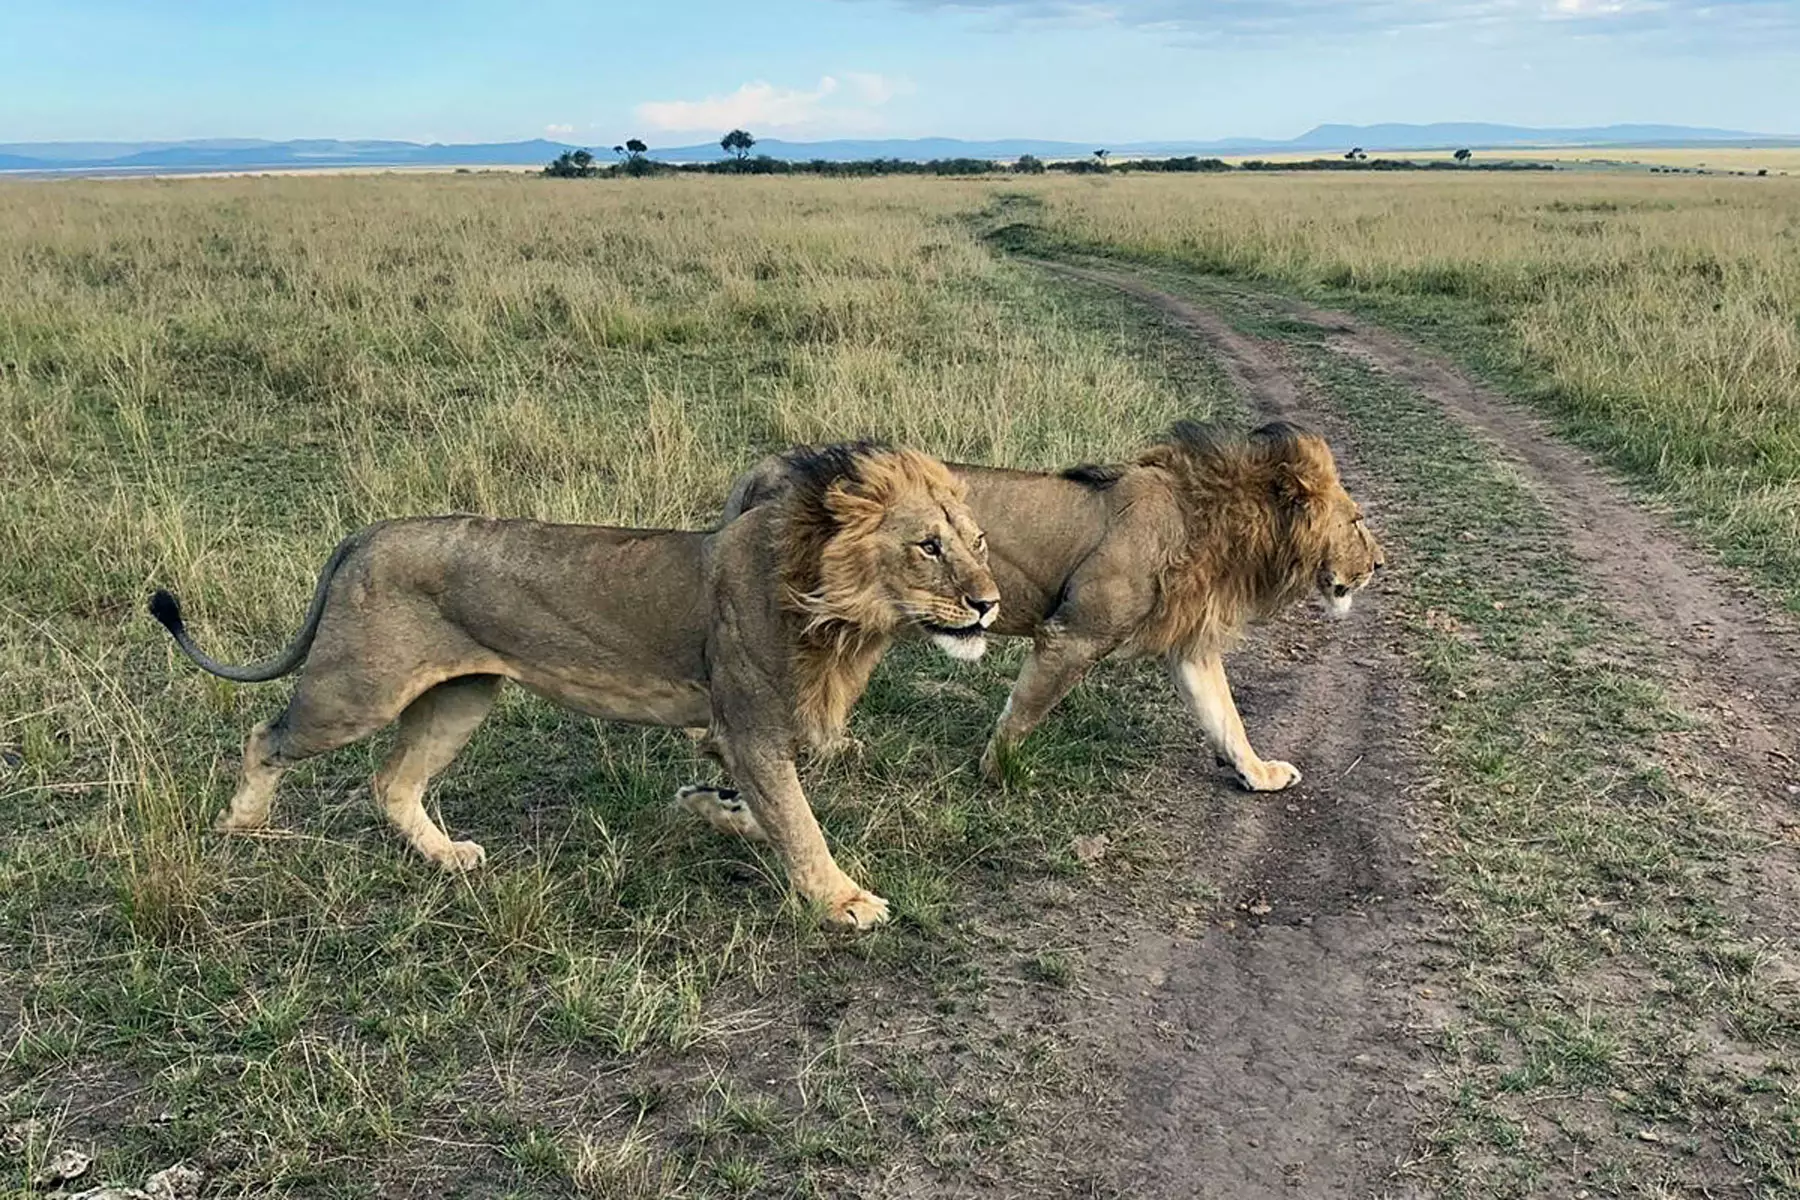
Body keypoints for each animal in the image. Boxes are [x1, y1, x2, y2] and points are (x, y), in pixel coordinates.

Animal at [144, 444, 1000, 928]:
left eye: (980, 542)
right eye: (928, 546)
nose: (990, 603)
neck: (835, 611)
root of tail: (365, 534)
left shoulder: (738, 732)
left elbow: (768, 805)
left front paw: (717, 812)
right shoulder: (749, 723)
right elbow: (800, 821)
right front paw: (844, 900)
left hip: (461, 697)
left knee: (392, 781)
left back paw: (446, 856)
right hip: (359, 691)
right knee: (267, 736)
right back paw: (244, 824)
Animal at [712, 422, 1375, 798]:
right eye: (1358, 521)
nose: (1380, 563)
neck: (1211, 520)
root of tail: (767, 468)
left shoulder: (1188, 648)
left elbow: (1226, 718)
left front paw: (1258, 775)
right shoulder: (1073, 634)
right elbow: (1023, 713)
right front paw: (998, 774)